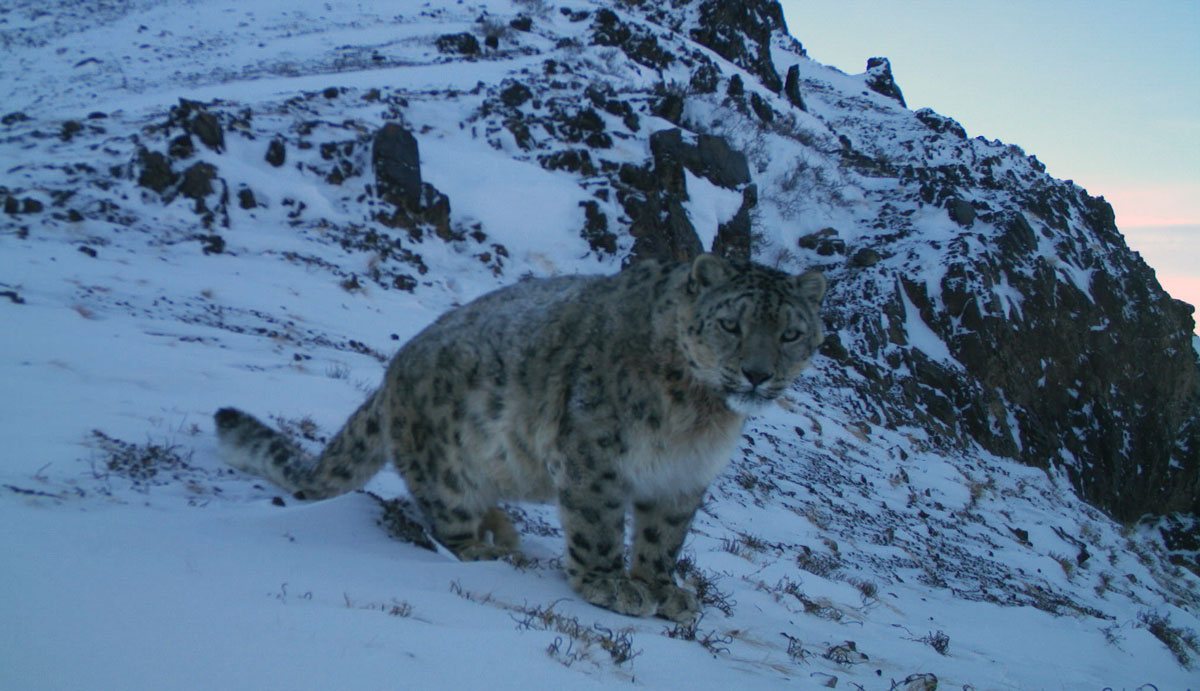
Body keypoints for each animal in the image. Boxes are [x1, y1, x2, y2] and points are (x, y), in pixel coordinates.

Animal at [215, 253, 825, 621]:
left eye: (792, 333)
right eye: (730, 324)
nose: (757, 373)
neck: (698, 417)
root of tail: (391, 374)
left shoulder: (683, 478)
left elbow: (663, 539)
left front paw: (663, 589)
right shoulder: (594, 454)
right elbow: (599, 525)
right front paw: (609, 584)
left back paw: (505, 532)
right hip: (444, 465)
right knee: (447, 522)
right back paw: (489, 551)